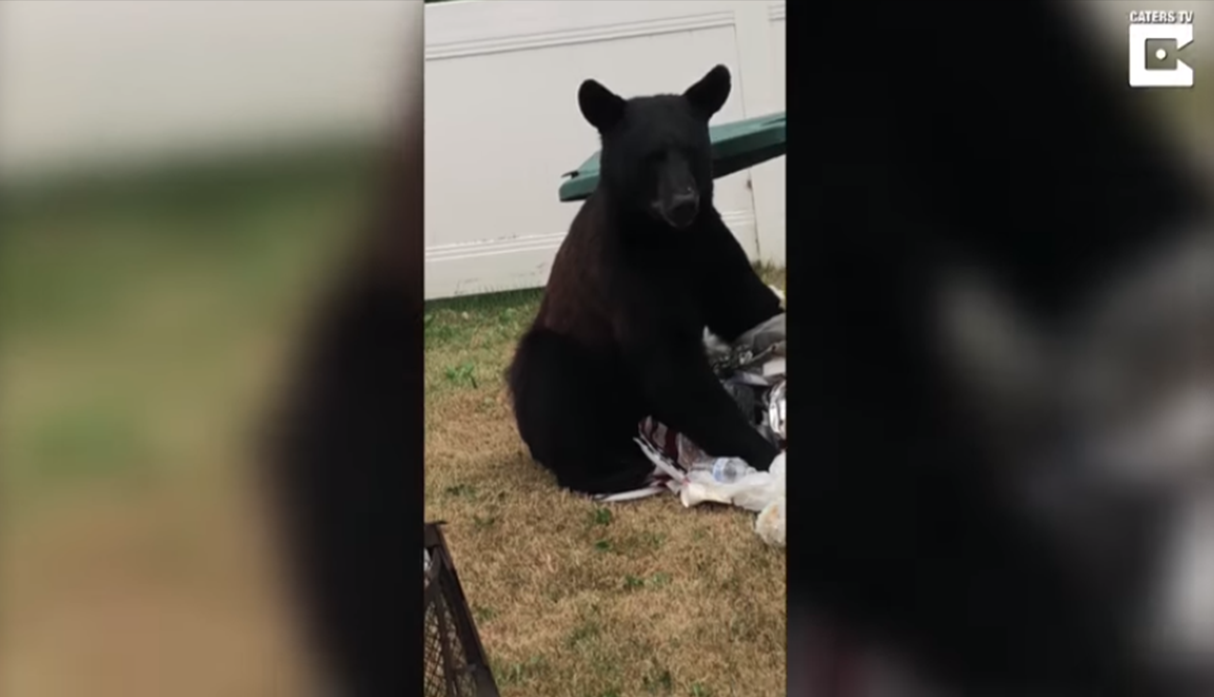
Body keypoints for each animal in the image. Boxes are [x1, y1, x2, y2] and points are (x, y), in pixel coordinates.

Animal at [507, 64, 783, 495]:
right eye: (648, 158)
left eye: (691, 149)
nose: (684, 203)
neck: (668, 242)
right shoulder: (627, 277)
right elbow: (670, 370)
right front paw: (769, 459)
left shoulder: (711, 249)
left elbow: (750, 307)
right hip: (565, 366)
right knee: (548, 384)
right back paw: (614, 471)